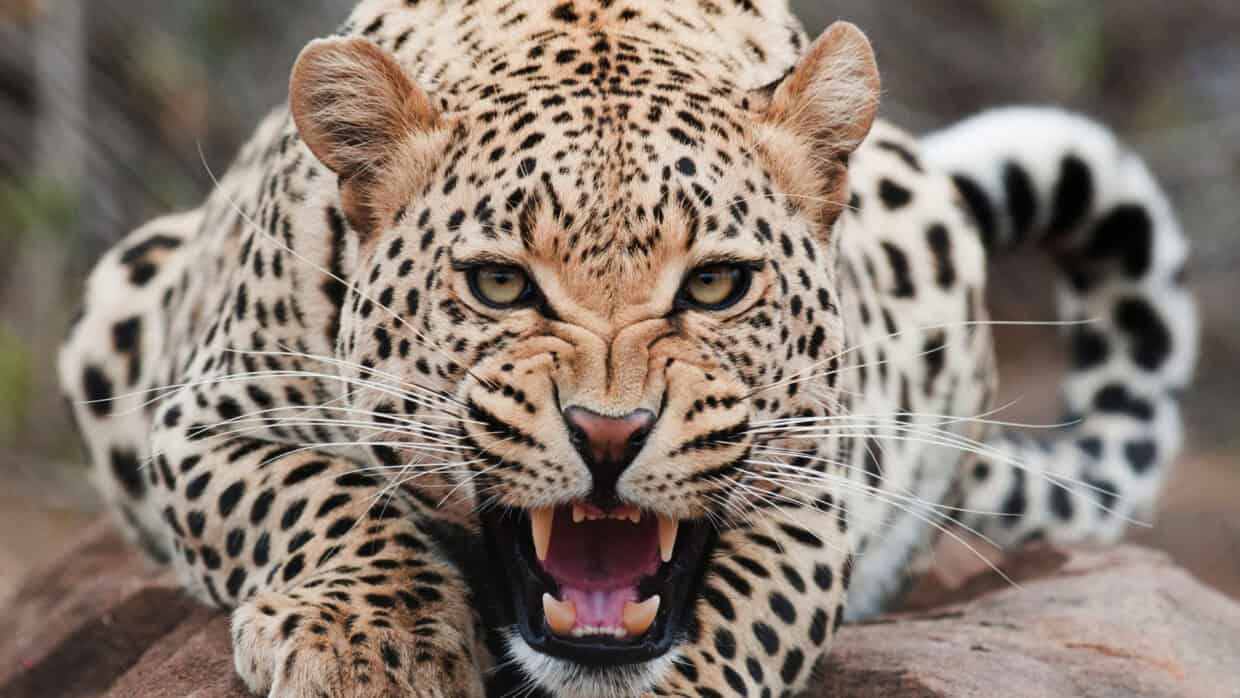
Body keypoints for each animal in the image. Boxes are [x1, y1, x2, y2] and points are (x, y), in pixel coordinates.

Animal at [58, 1, 1197, 696]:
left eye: (716, 285)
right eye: (500, 284)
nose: (609, 434)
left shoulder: (814, 486)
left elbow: (740, 619)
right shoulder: (204, 414)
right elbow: (315, 494)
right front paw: (367, 646)